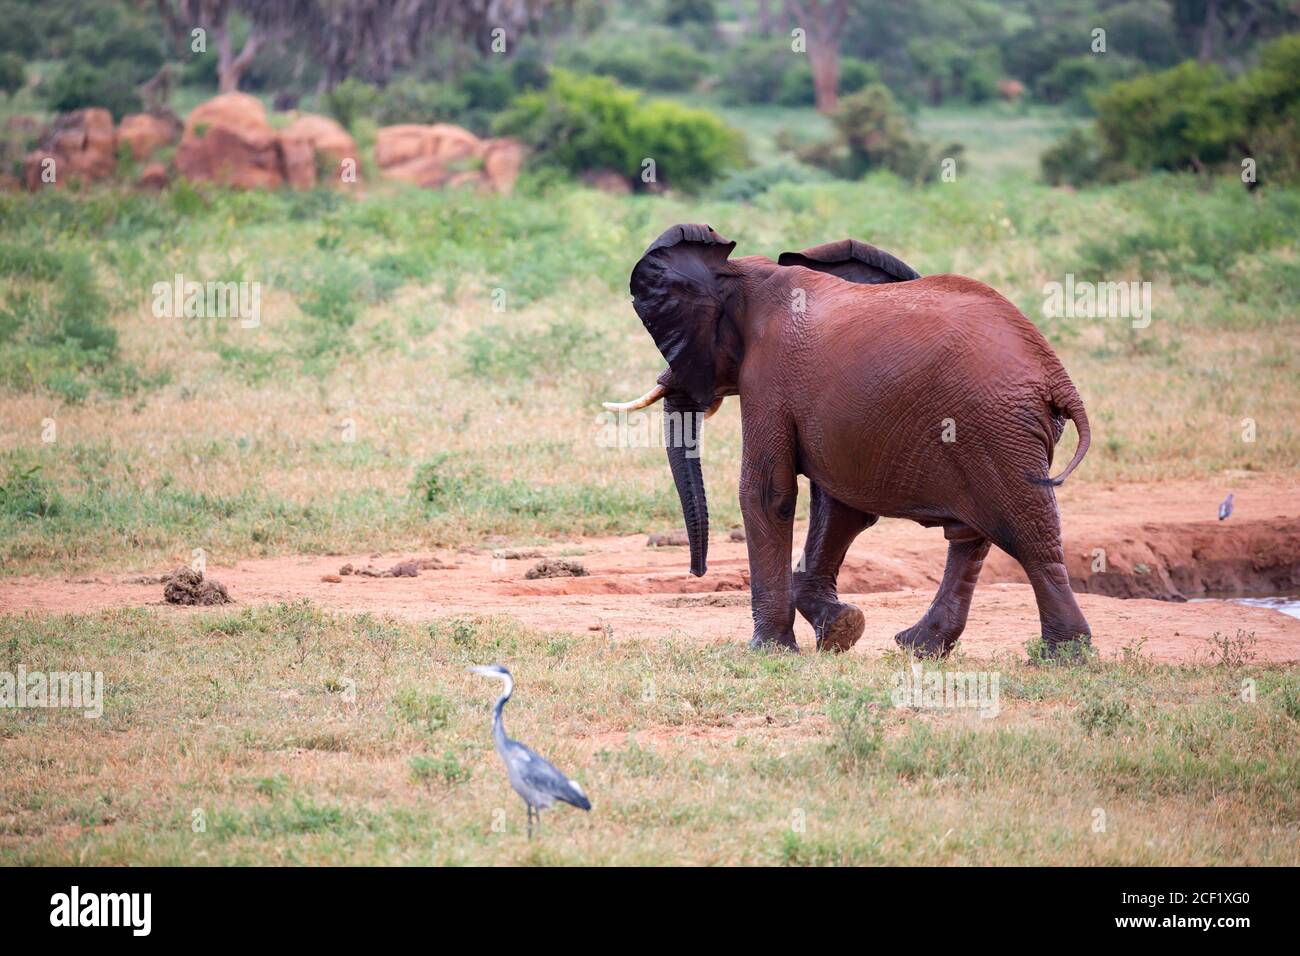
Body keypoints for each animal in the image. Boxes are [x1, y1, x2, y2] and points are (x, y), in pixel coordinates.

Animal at [604, 223, 1093, 657]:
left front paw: (768, 650)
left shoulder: (768, 375)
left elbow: (767, 493)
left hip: (995, 426)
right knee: (972, 536)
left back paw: (1062, 656)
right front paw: (841, 627)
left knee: (1026, 533)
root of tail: (1057, 377)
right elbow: (840, 509)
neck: (742, 273)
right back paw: (921, 647)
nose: (697, 571)